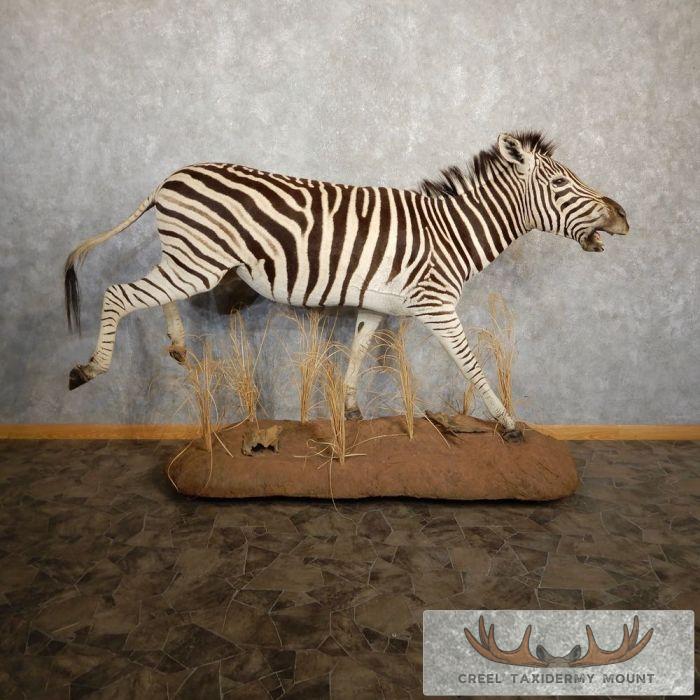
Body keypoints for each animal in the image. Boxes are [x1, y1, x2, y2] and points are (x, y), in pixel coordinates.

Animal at [64, 131, 629, 441]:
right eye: (561, 184)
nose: (623, 217)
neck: (450, 233)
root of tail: (169, 179)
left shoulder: (376, 304)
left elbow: (357, 352)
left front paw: (352, 410)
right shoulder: (436, 303)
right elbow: (470, 361)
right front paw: (509, 423)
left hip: (192, 258)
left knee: (159, 294)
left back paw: (179, 345)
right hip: (198, 260)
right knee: (119, 294)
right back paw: (89, 368)